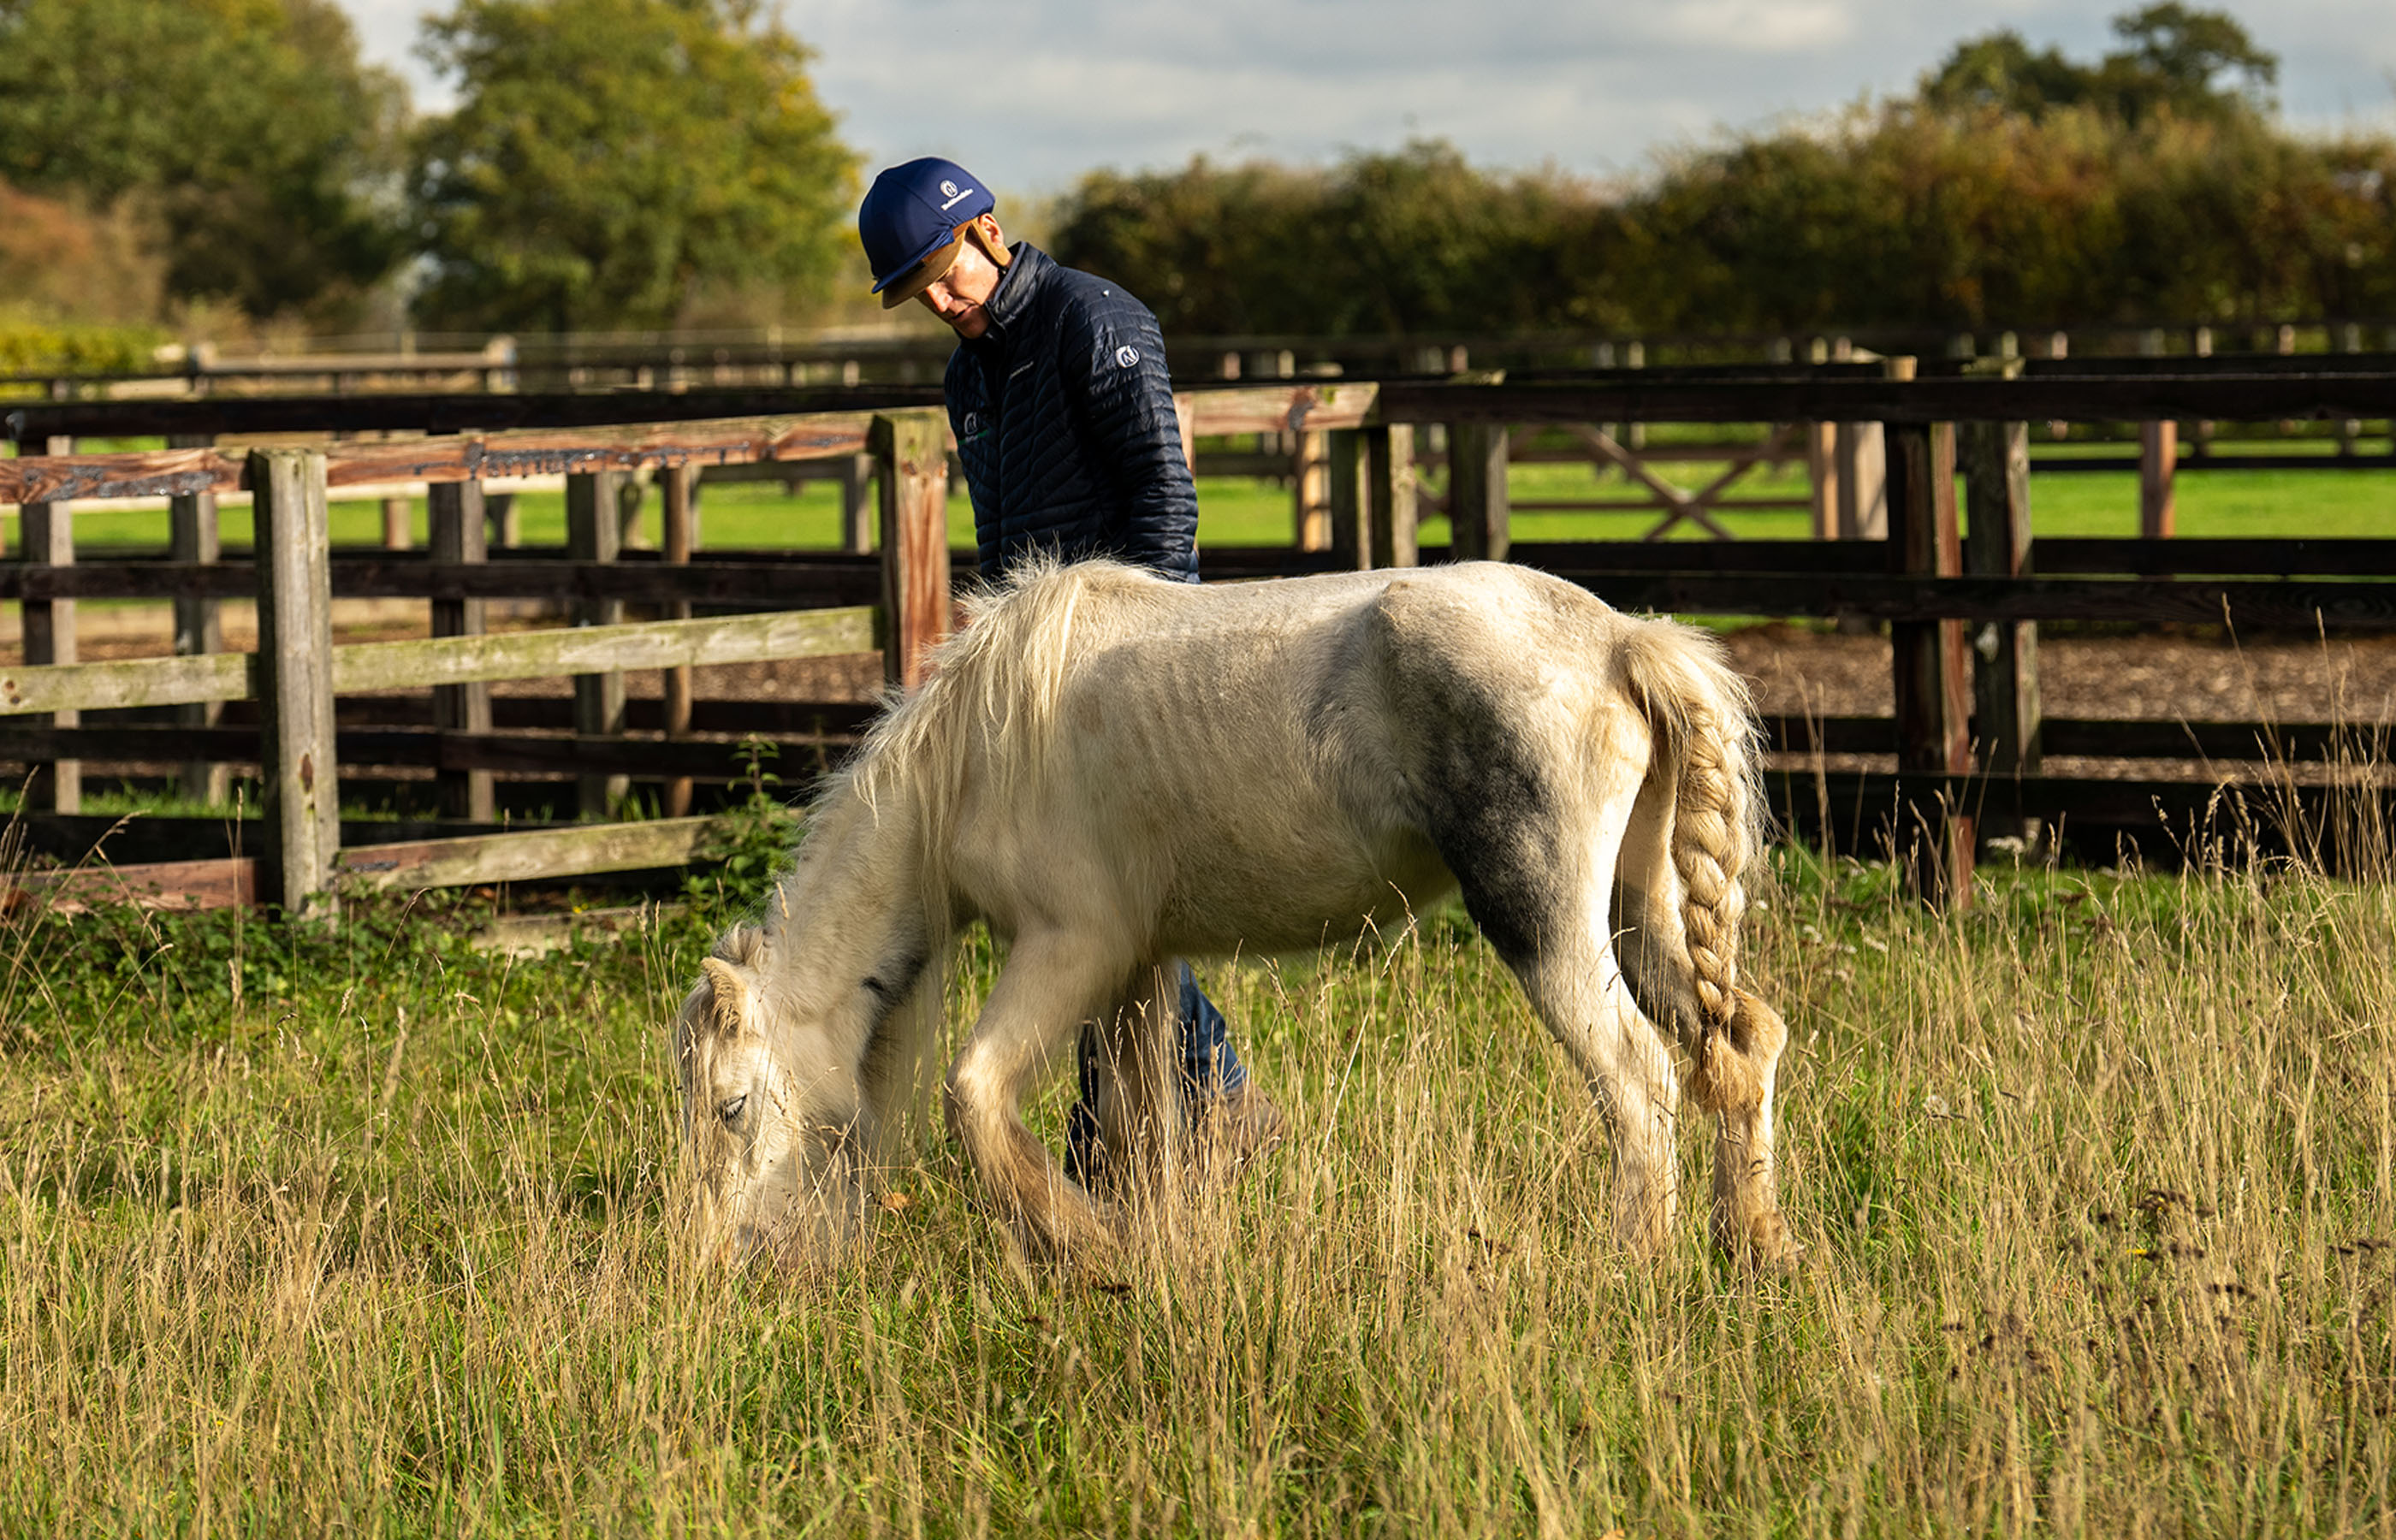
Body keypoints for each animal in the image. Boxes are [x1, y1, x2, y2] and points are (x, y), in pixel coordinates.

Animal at [673, 558, 1794, 1271]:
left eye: (731, 1106)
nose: (728, 1261)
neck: (972, 754)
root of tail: (1617, 642)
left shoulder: (1068, 949)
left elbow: (975, 1094)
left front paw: (1090, 1251)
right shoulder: (1131, 968)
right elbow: (1137, 1129)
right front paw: (1151, 1249)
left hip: (1547, 926)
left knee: (1637, 1078)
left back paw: (1635, 1264)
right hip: (1640, 916)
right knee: (1738, 1046)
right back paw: (1754, 1248)